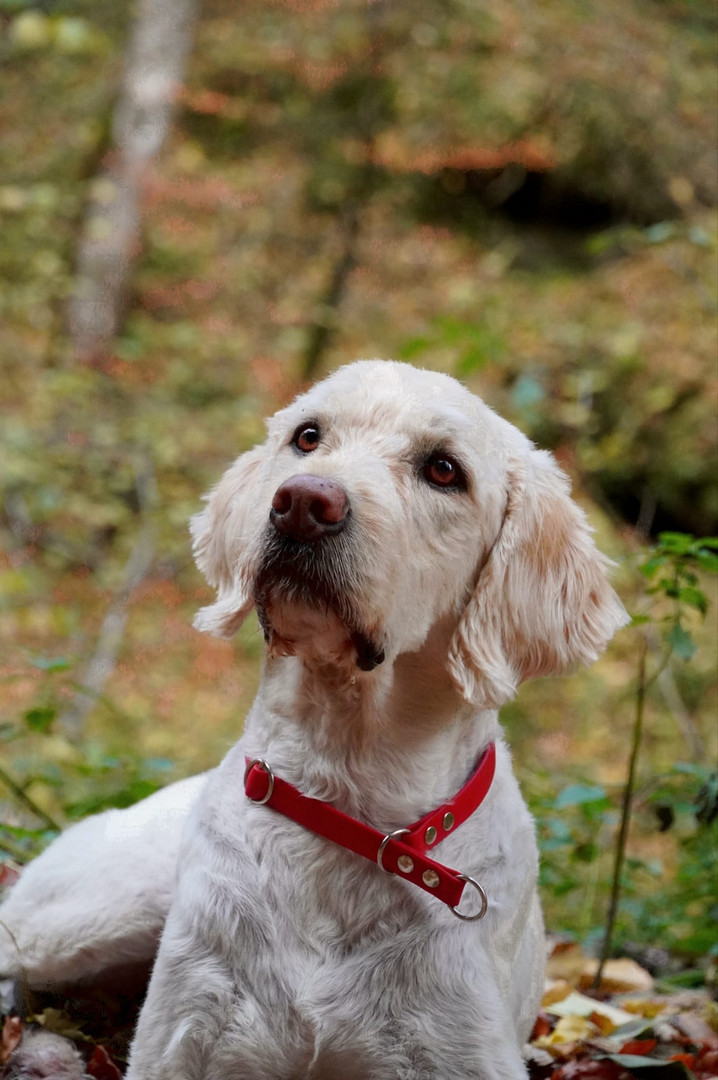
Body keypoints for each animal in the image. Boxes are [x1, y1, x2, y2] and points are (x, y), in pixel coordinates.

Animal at [0, 365, 626, 1080]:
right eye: (307, 436)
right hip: (95, 912)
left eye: (444, 469)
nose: (302, 502)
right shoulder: (183, 1037)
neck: (342, 786)